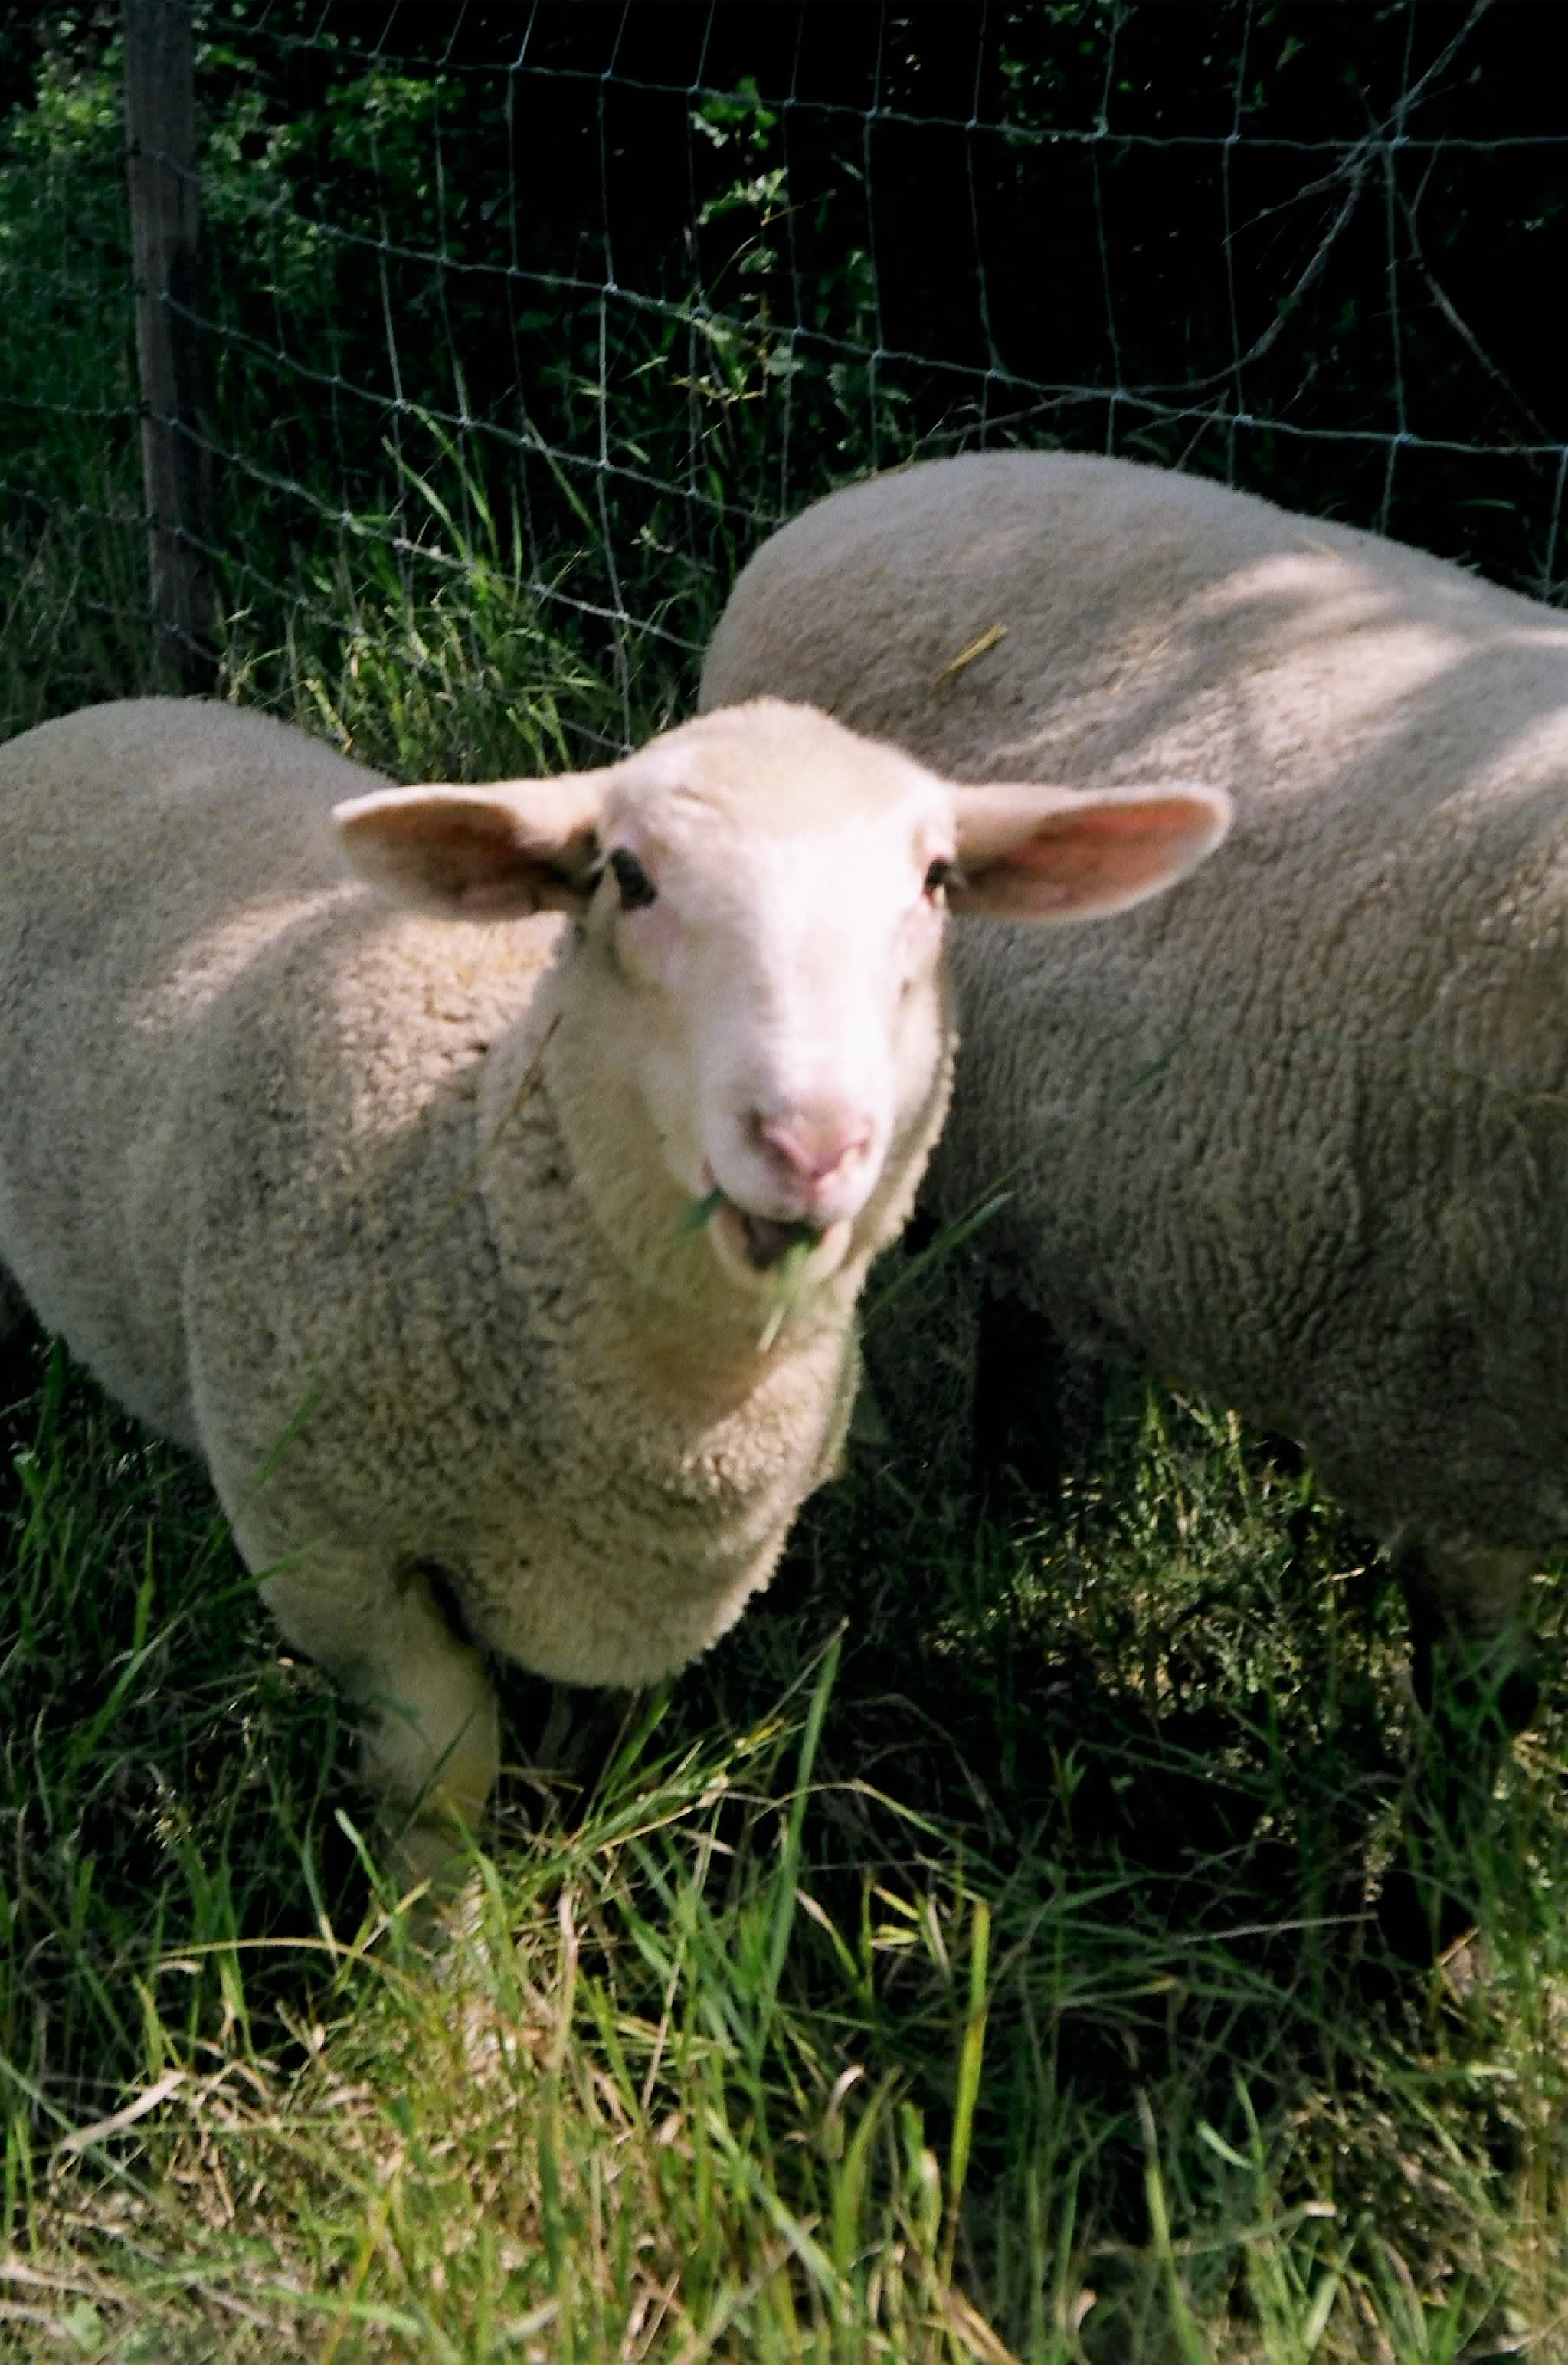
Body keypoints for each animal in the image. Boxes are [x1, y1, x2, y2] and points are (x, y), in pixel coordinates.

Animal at [0, 692, 1226, 1880]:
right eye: (629, 876)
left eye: (933, 881)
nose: (809, 1141)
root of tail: (95, 716)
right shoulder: (331, 1553)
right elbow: (444, 1773)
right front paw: (442, 1940)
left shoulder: (651, 1590)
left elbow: (591, 1747)